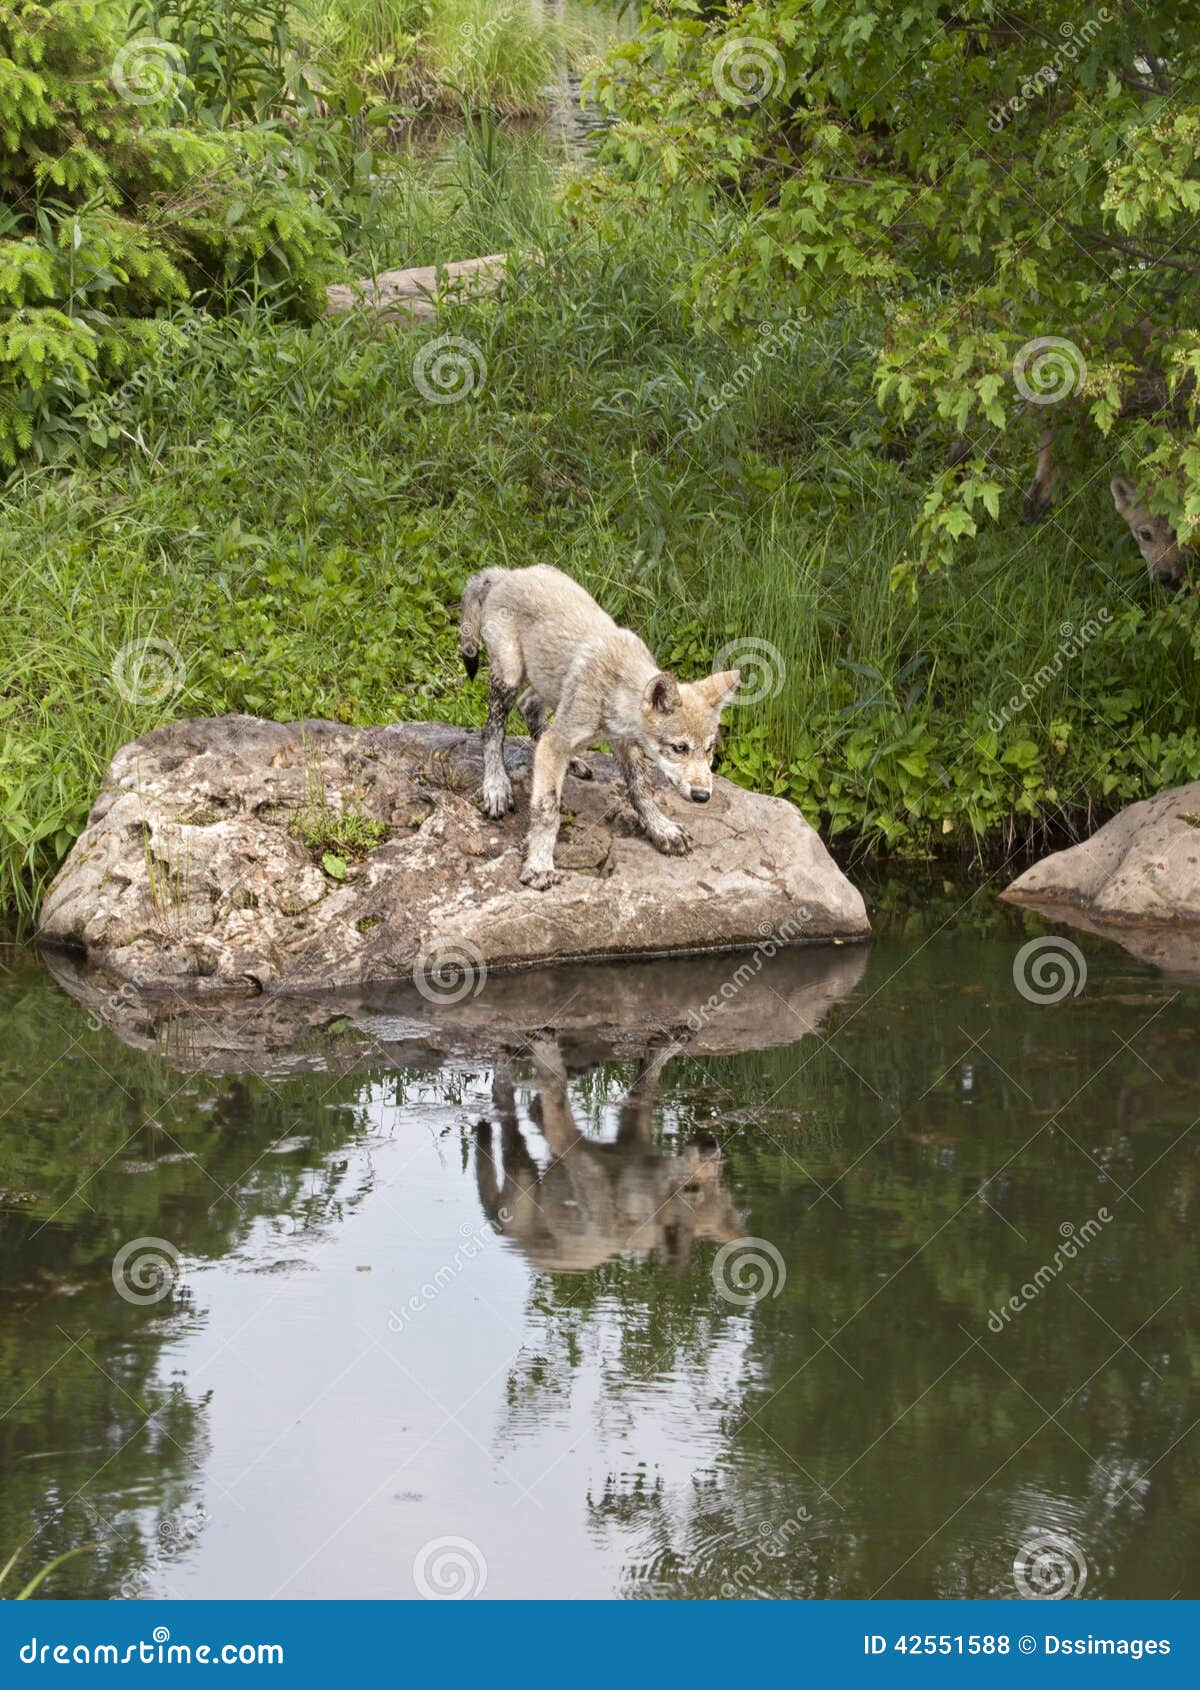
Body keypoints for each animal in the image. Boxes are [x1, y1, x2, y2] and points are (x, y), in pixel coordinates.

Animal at [459, 565, 741, 890]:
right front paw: (540, 864)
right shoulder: (558, 743)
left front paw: (662, 830)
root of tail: (506, 573)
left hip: (548, 685)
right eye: (678, 748)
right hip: (509, 675)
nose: (703, 796)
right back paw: (496, 786)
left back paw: (573, 763)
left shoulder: (624, 745)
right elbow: (547, 810)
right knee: (492, 730)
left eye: (709, 751)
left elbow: (640, 791)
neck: (616, 688)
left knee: (528, 706)